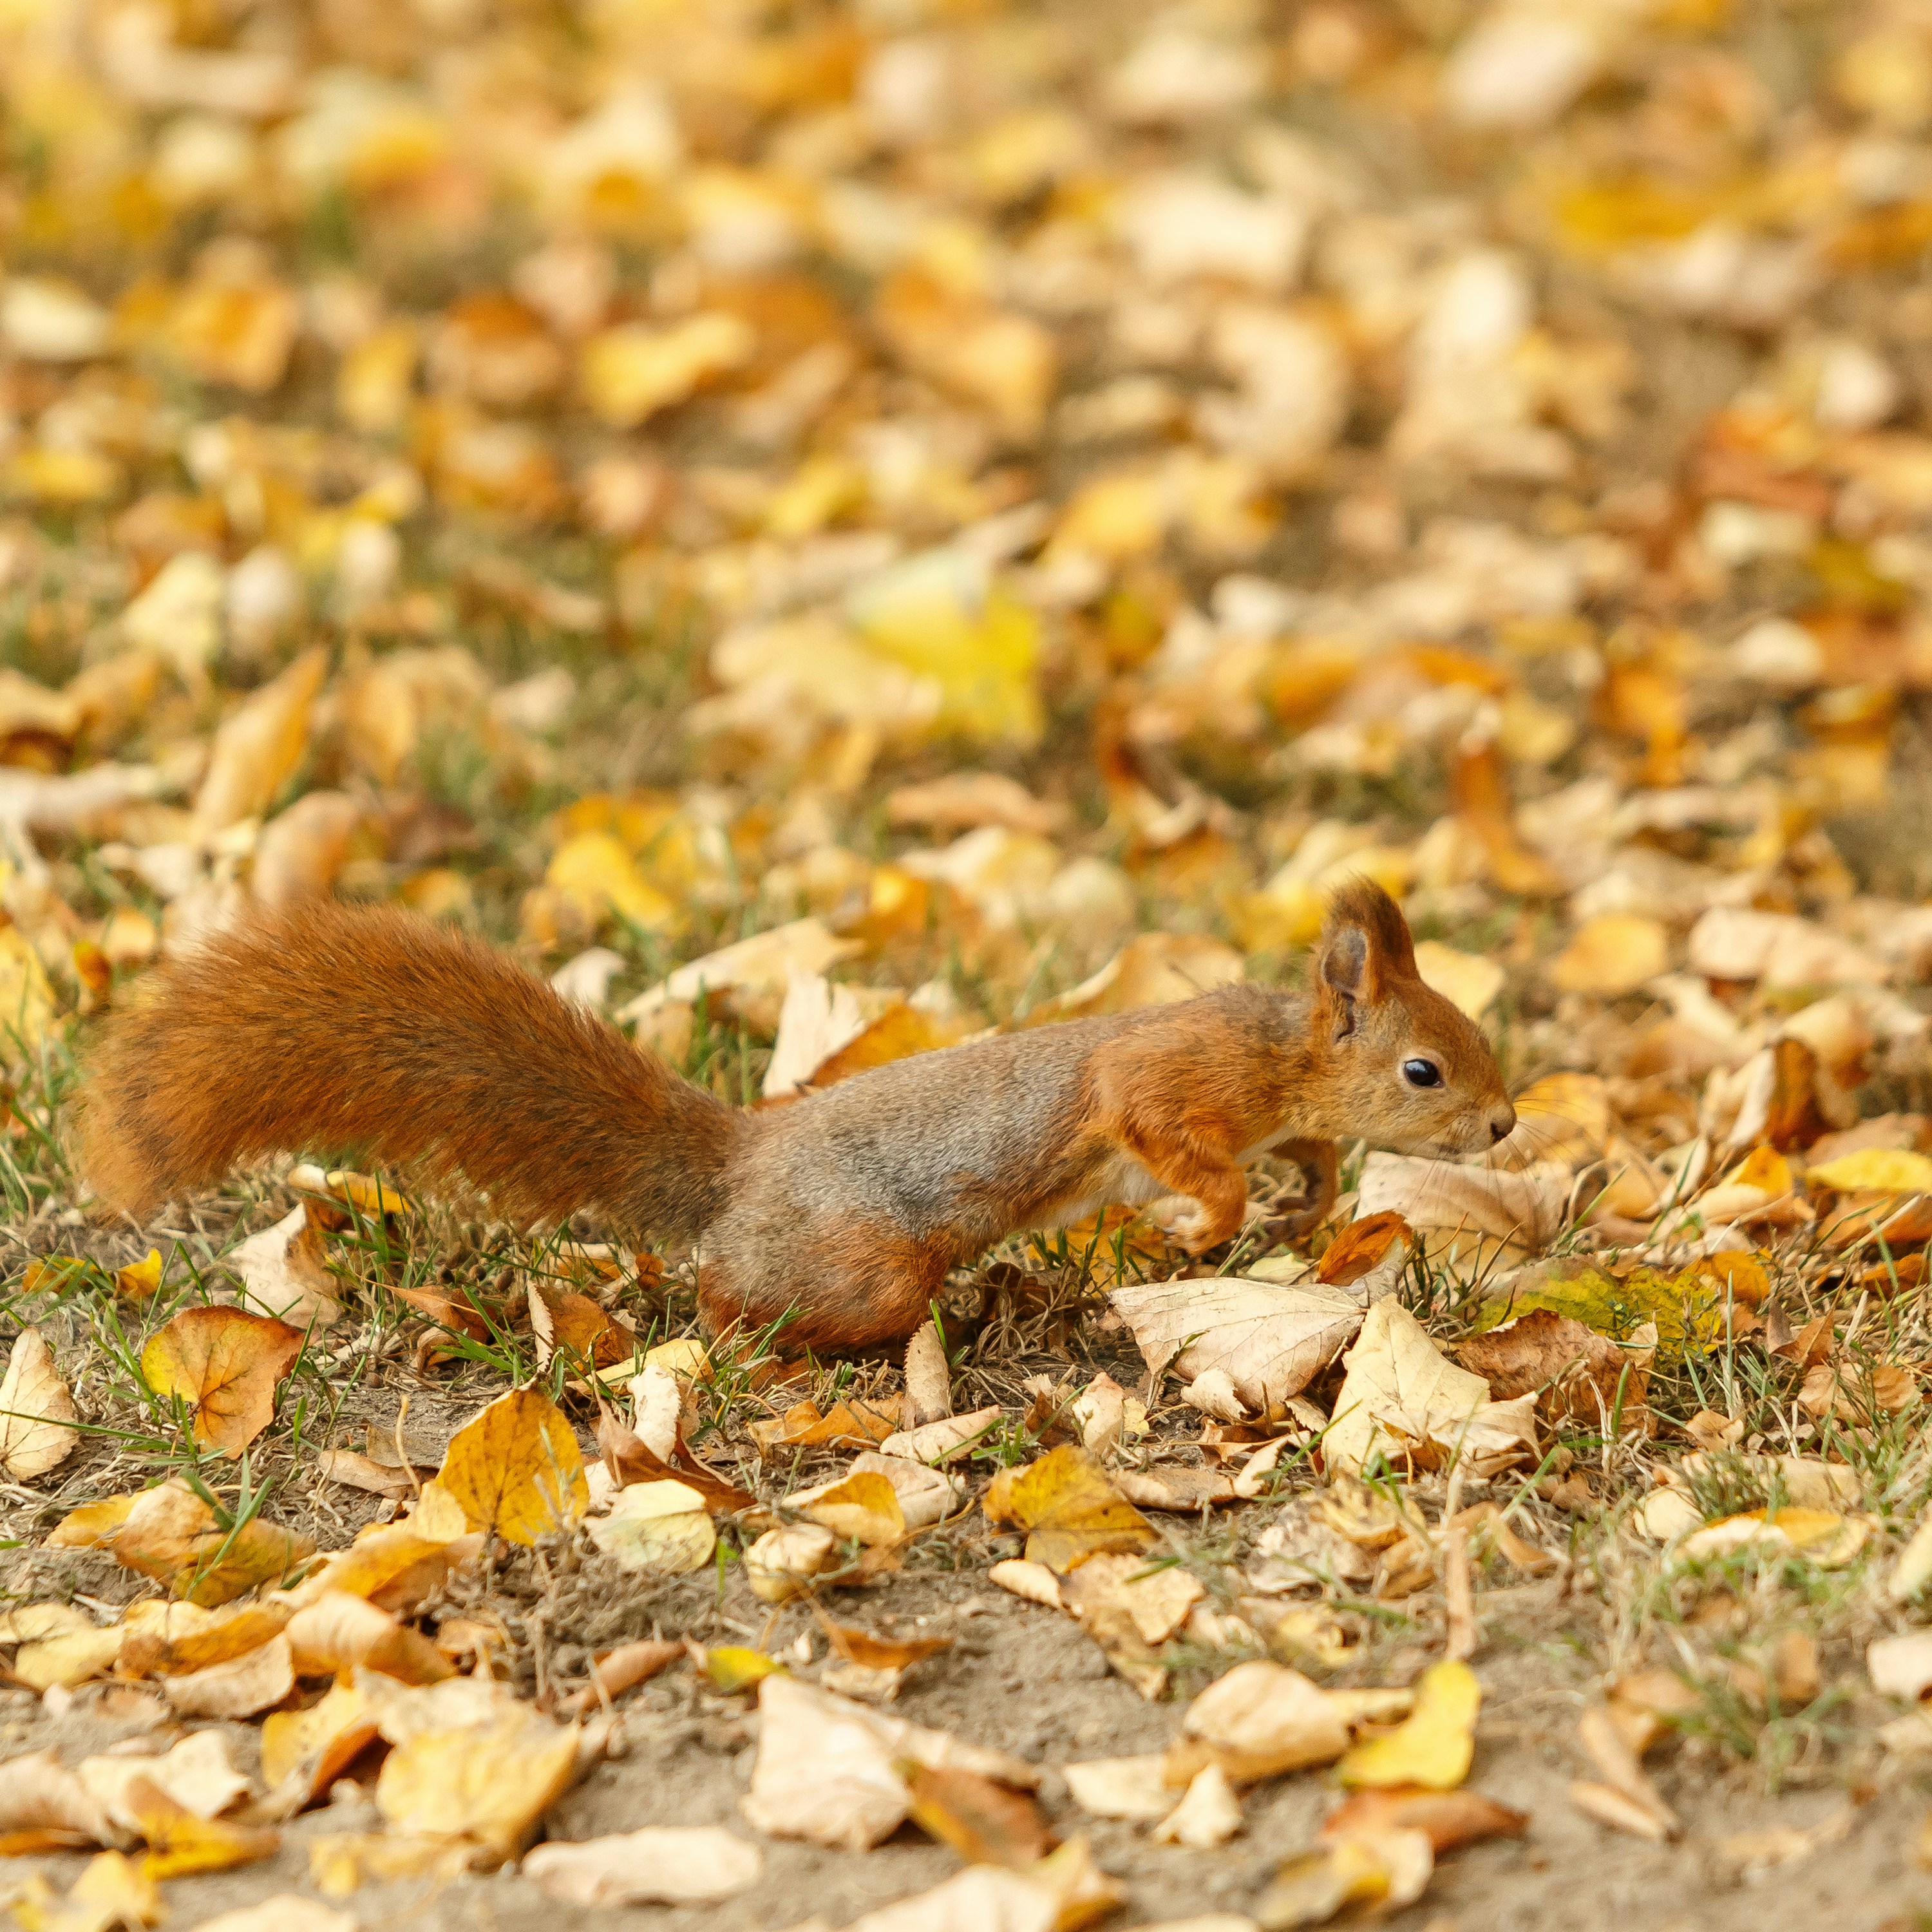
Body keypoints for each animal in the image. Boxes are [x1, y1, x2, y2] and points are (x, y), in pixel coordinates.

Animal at [74, 877, 1513, 1353]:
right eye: (1426, 1071)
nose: (1505, 1129)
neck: (1277, 1052)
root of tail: (741, 1167)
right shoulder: (1168, 1078)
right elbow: (1158, 1132)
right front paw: (1202, 1225)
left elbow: (1312, 1152)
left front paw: (1309, 1198)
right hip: (865, 1265)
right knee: (739, 1303)